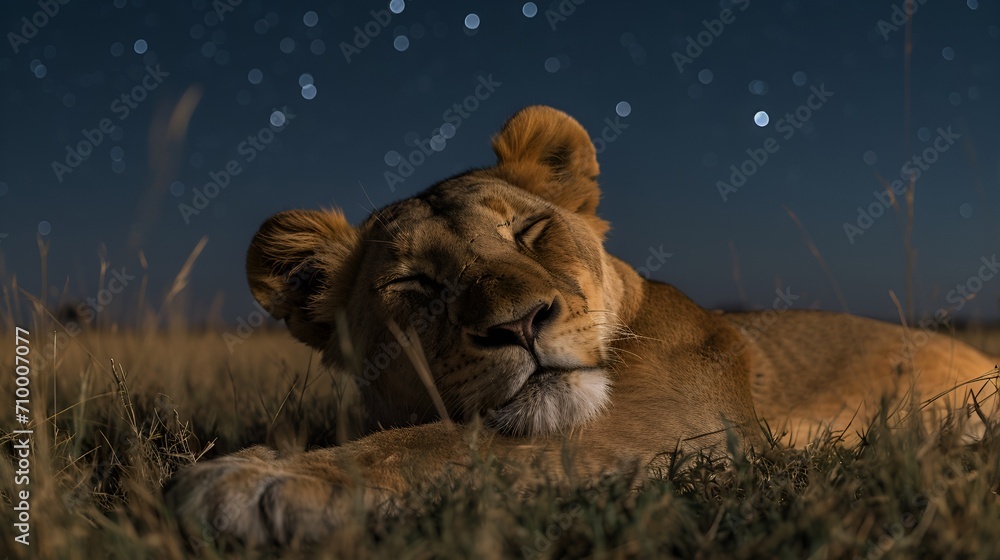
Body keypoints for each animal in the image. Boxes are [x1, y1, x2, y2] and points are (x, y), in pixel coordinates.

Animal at [166, 105, 998, 547]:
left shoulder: (688, 424)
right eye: (412, 283)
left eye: (531, 230)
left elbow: (450, 445)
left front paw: (263, 476)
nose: (521, 324)